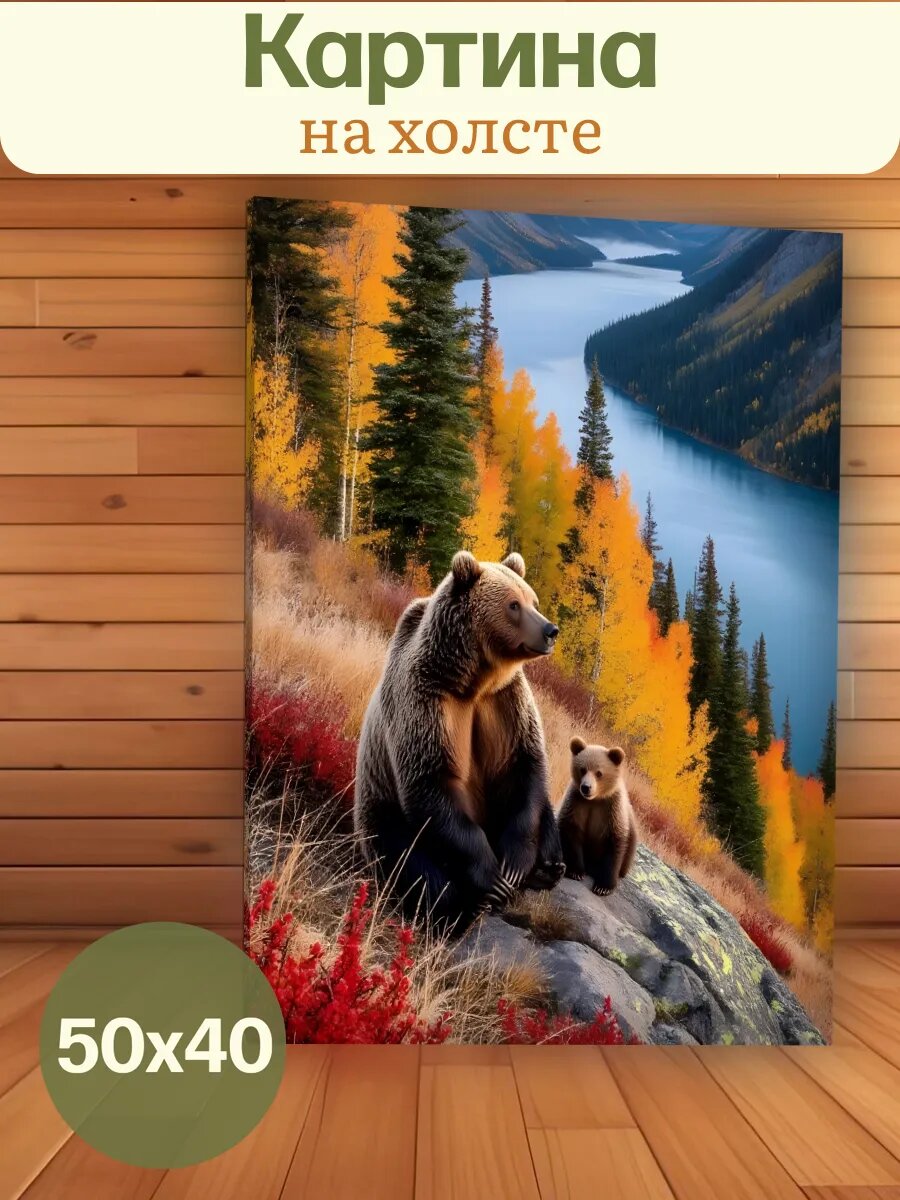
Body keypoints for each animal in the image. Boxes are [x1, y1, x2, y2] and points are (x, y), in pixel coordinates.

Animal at [354, 549, 565, 933]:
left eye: (534, 600)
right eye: (513, 605)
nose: (550, 630)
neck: (472, 681)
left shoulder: (505, 704)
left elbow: (524, 770)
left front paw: (518, 864)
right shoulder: (427, 704)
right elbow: (431, 786)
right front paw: (493, 880)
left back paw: (549, 867)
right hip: (380, 812)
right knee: (412, 864)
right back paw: (461, 906)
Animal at [557, 737, 638, 896]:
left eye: (599, 773)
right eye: (582, 769)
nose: (586, 787)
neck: (595, 800)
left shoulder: (612, 810)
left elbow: (615, 846)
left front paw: (603, 887)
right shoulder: (576, 804)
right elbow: (572, 834)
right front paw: (576, 872)